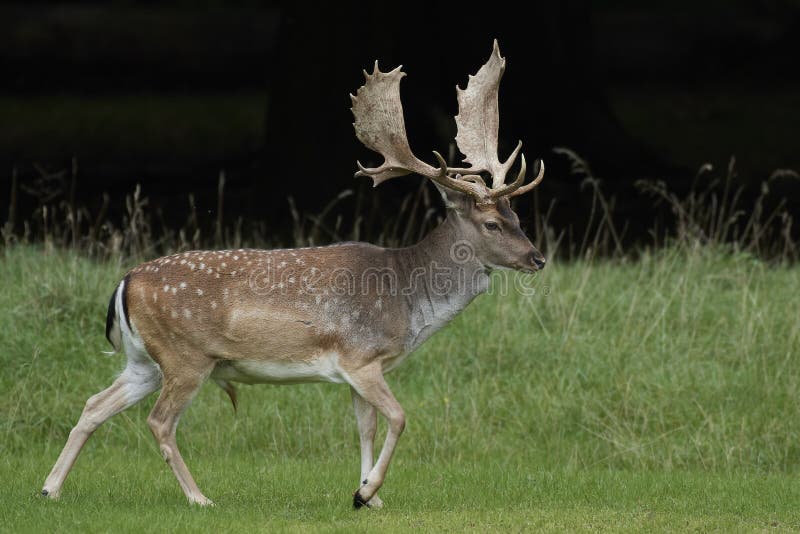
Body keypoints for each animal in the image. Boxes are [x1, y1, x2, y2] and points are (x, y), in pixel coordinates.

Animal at [41, 40, 546, 509]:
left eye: (517, 214)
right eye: (492, 223)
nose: (538, 258)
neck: (407, 298)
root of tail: (124, 284)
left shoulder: (359, 367)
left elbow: (364, 427)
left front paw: (366, 495)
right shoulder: (360, 356)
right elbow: (399, 418)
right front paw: (367, 492)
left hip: (144, 360)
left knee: (94, 404)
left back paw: (50, 489)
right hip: (186, 356)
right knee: (159, 422)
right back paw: (200, 498)